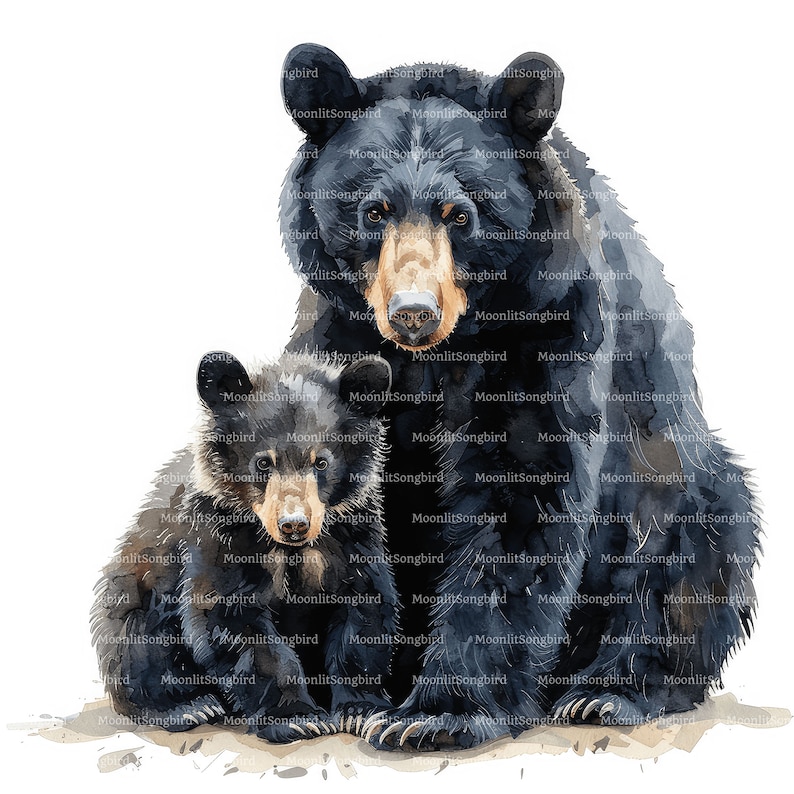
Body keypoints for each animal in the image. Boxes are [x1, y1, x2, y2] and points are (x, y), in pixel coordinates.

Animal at [91, 351, 399, 743]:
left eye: (321, 462)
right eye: (263, 462)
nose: (294, 525)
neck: (287, 549)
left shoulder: (352, 534)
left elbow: (363, 609)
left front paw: (362, 711)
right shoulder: (216, 534)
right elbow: (232, 618)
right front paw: (296, 718)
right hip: (134, 593)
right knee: (139, 643)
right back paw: (188, 706)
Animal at [276, 44, 761, 749]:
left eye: (460, 213)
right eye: (374, 211)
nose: (413, 313)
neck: (441, 353)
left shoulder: (553, 319)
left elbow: (521, 485)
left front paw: (435, 713)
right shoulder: (341, 330)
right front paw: (363, 699)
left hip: (689, 486)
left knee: (682, 560)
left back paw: (606, 693)